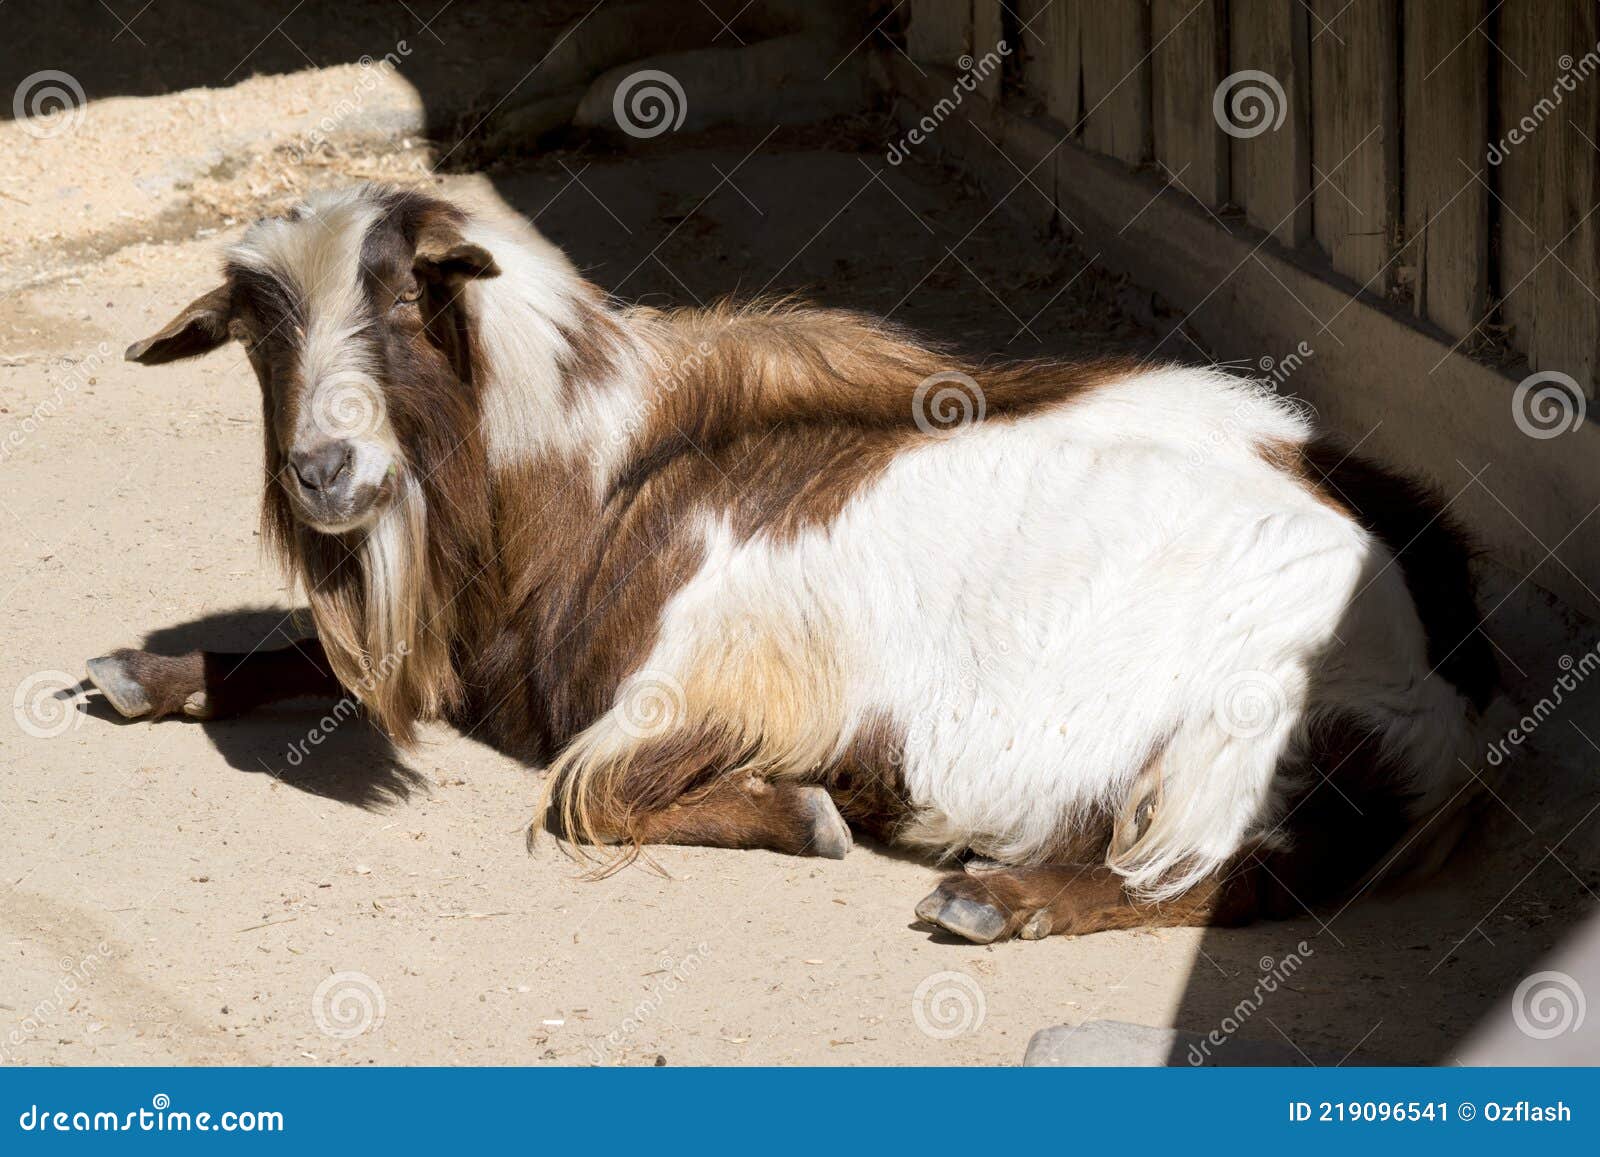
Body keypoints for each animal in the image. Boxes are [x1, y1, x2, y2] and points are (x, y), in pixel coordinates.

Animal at [89, 184, 1499, 943]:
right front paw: (144, 671)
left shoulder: (701, 679)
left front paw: (809, 809)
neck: (592, 479)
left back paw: (1001, 897)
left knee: (1251, 869)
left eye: (398, 300)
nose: (321, 471)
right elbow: (309, 657)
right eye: (256, 334)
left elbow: (591, 794)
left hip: (1225, 736)